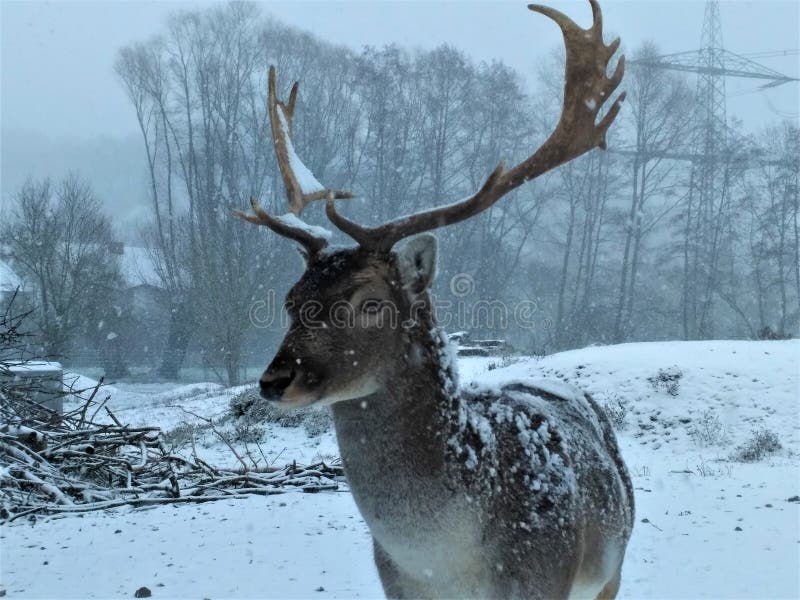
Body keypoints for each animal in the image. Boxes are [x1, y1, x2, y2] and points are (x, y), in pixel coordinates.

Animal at [235, 1, 634, 598]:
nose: (275, 379)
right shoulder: (394, 581)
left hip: (613, 565)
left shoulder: (543, 575)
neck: (442, 562)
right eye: (290, 299)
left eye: (370, 302)